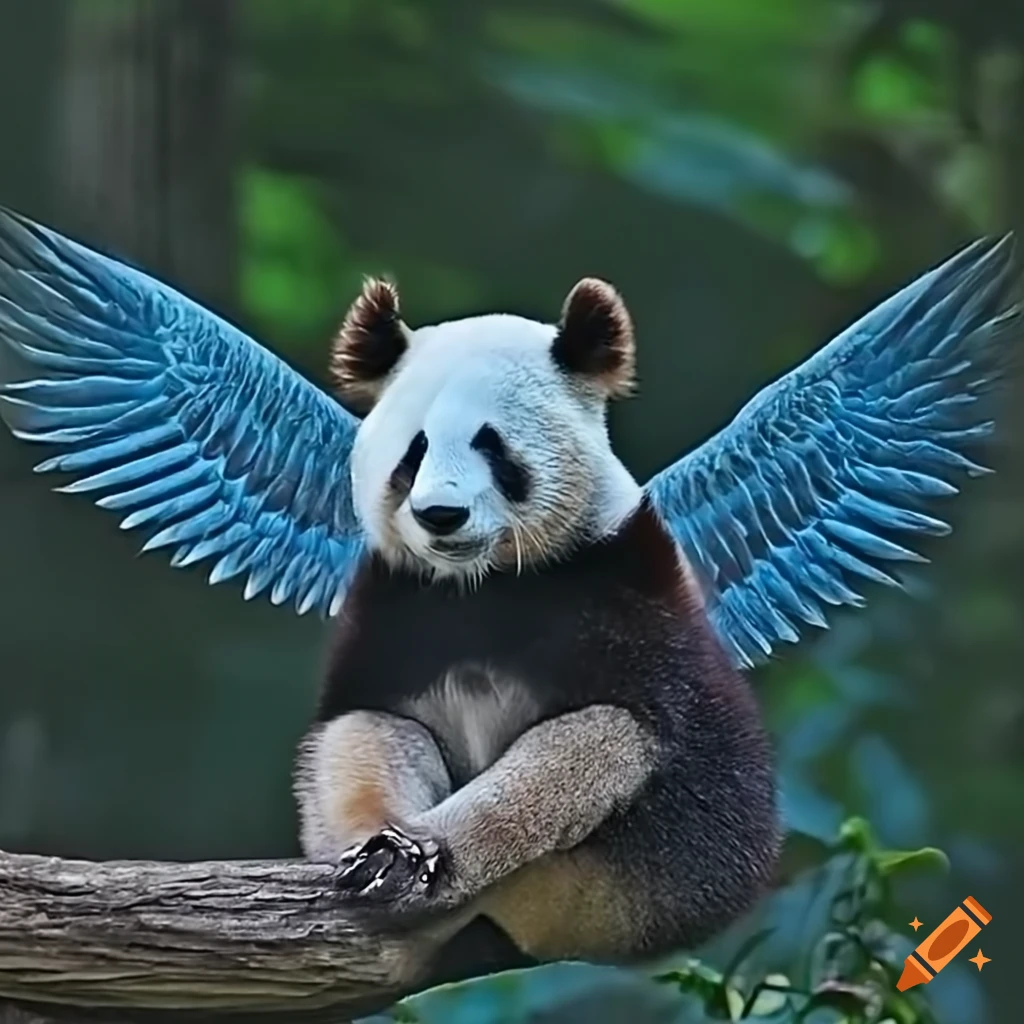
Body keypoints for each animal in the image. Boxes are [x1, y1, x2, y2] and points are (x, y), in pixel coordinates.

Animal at [293, 277, 780, 983]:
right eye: (414, 450)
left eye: (491, 445)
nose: (441, 515)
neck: (483, 581)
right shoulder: (396, 608)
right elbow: (360, 730)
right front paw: (375, 852)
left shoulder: (620, 594)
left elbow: (640, 730)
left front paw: (415, 858)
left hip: (615, 889)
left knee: (605, 744)